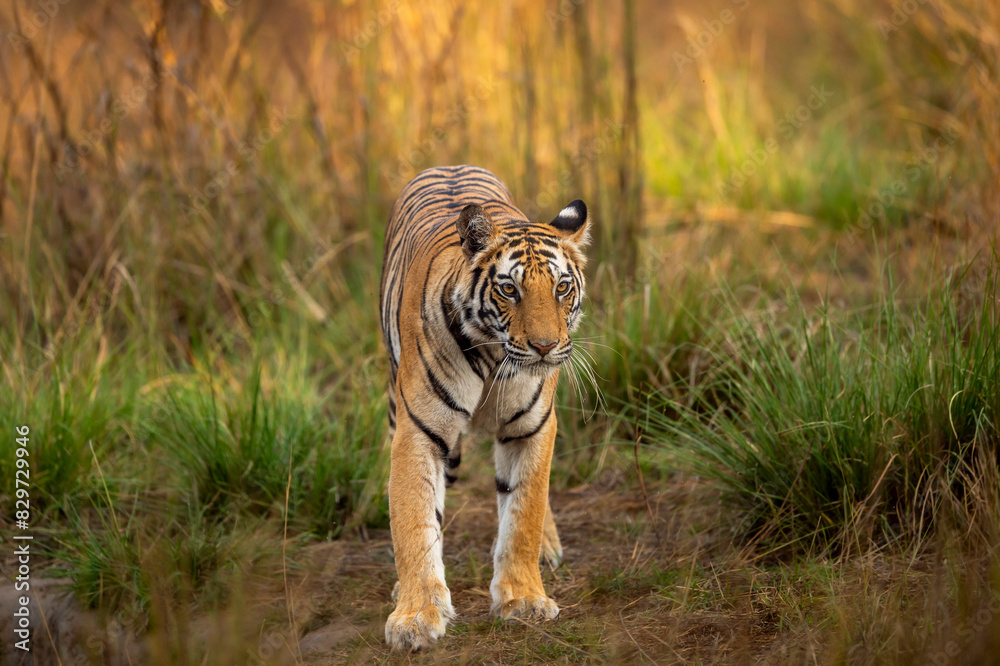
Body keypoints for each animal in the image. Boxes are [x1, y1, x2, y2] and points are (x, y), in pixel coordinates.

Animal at [379, 165, 590, 651]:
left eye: (562, 287)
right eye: (509, 289)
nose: (545, 347)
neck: (496, 355)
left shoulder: (532, 427)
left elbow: (524, 513)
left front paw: (524, 600)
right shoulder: (419, 431)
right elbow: (415, 520)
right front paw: (416, 617)